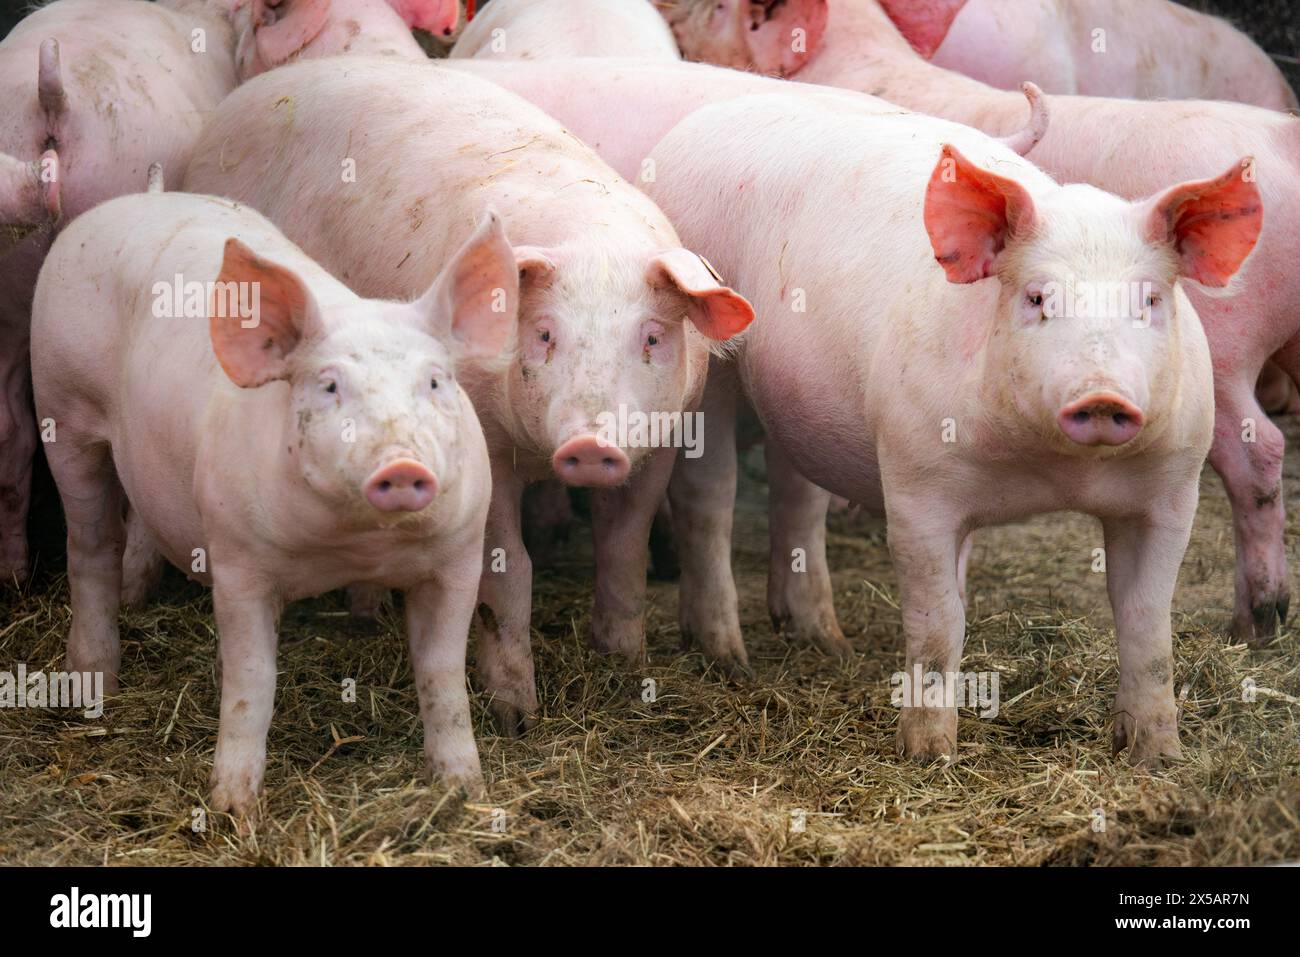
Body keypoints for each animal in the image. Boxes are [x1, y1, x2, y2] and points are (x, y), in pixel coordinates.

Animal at [31, 190, 515, 815]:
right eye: (329, 386)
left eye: (434, 382)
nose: (401, 466)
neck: (357, 546)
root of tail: (145, 195)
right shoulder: (240, 560)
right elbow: (254, 678)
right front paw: (232, 807)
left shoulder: (458, 559)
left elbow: (443, 674)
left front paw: (465, 790)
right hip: (61, 408)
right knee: (90, 547)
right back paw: (94, 686)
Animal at [183, 58, 754, 735]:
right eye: (544, 333)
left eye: (653, 337)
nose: (592, 445)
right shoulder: (482, 451)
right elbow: (510, 570)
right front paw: (516, 717)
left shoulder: (658, 446)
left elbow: (622, 547)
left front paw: (622, 667)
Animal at [645, 92, 1260, 762]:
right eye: (1037, 298)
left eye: (1149, 300)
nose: (1101, 394)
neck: (1053, 471)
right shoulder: (916, 480)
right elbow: (938, 622)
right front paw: (929, 755)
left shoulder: (1172, 490)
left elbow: (1147, 622)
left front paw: (1157, 757)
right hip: (708, 363)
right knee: (708, 496)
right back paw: (729, 658)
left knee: (798, 495)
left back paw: (826, 641)